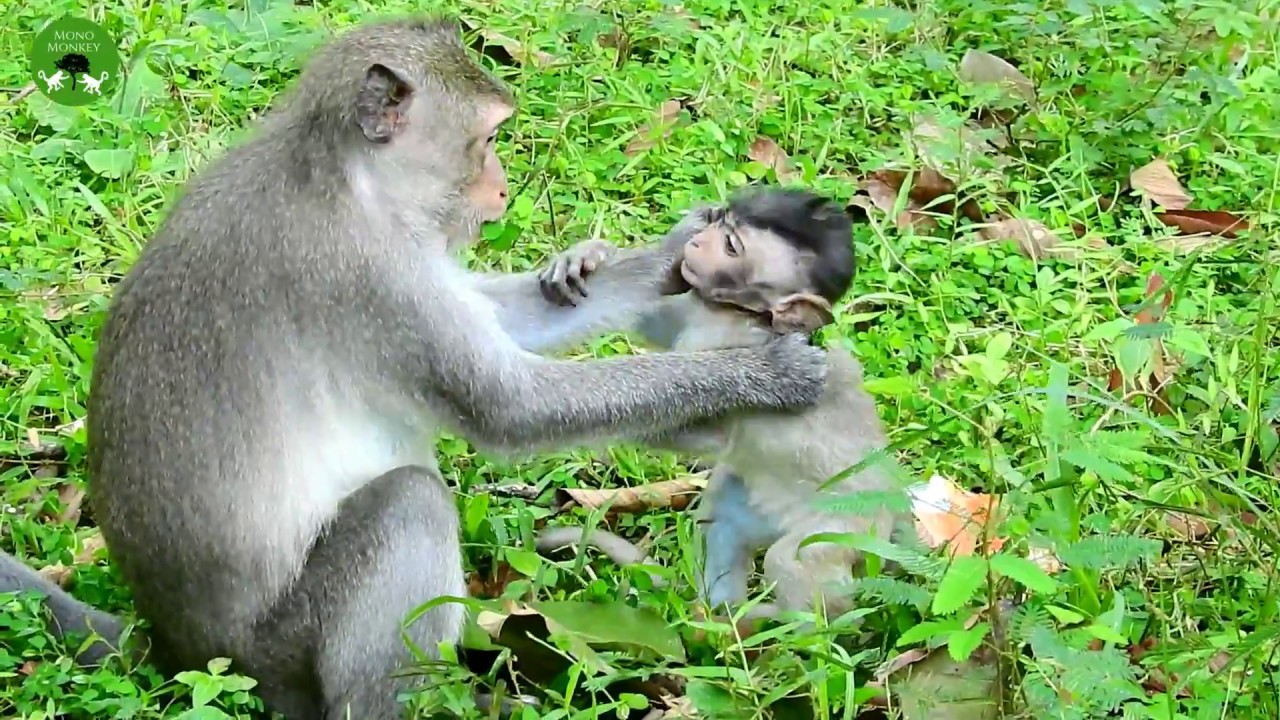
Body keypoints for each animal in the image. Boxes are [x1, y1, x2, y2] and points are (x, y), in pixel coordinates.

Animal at [0, 18, 830, 720]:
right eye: (488, 138)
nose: (501, 186)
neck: (342, 177)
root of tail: (181, 655)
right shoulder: (371, 277)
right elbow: (509, 408)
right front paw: (760, 371)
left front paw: (652, 260)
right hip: (282, 651)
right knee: (408, 508)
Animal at [537, 187, 907, 622]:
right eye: (722, 223)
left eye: (731, 246)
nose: (697, 242)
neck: (746, 315)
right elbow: (655, 322)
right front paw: (587, 256)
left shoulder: (721, 338)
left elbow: (693, 425)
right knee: (725, 513)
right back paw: (719, 615)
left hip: (846, 529)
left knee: (792, 561)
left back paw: (789, 626)